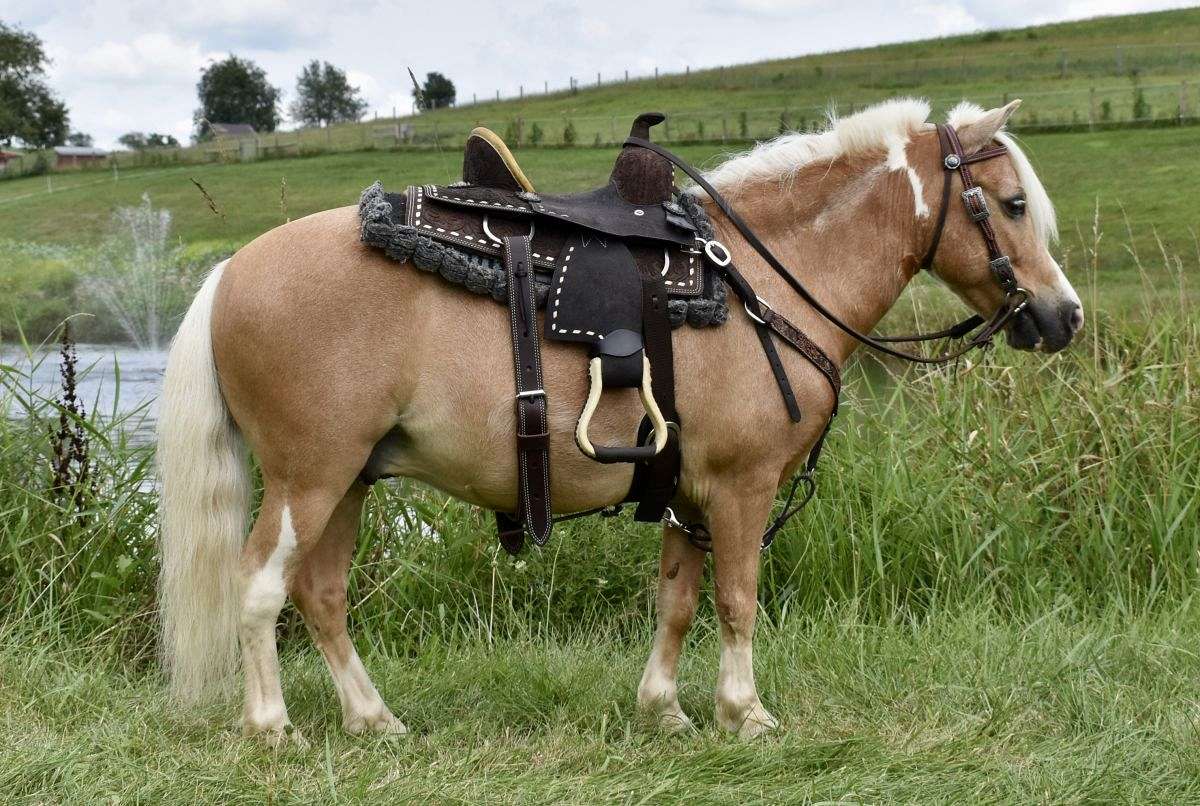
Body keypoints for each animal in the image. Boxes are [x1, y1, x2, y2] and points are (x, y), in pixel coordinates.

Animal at [156, 98, 1083, 745]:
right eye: (1008, 204)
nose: (1064, 316)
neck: (757, 283)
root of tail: (232, 270)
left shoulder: (686, 493)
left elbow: (676, 600)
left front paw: (665, 710)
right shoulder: (741, 490)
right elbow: (738, 600)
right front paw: (745, 713)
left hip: (348, 479)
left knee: (320, 592)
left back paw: (373, 719)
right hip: (308, 478)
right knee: (260, 586)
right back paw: (272, 726)